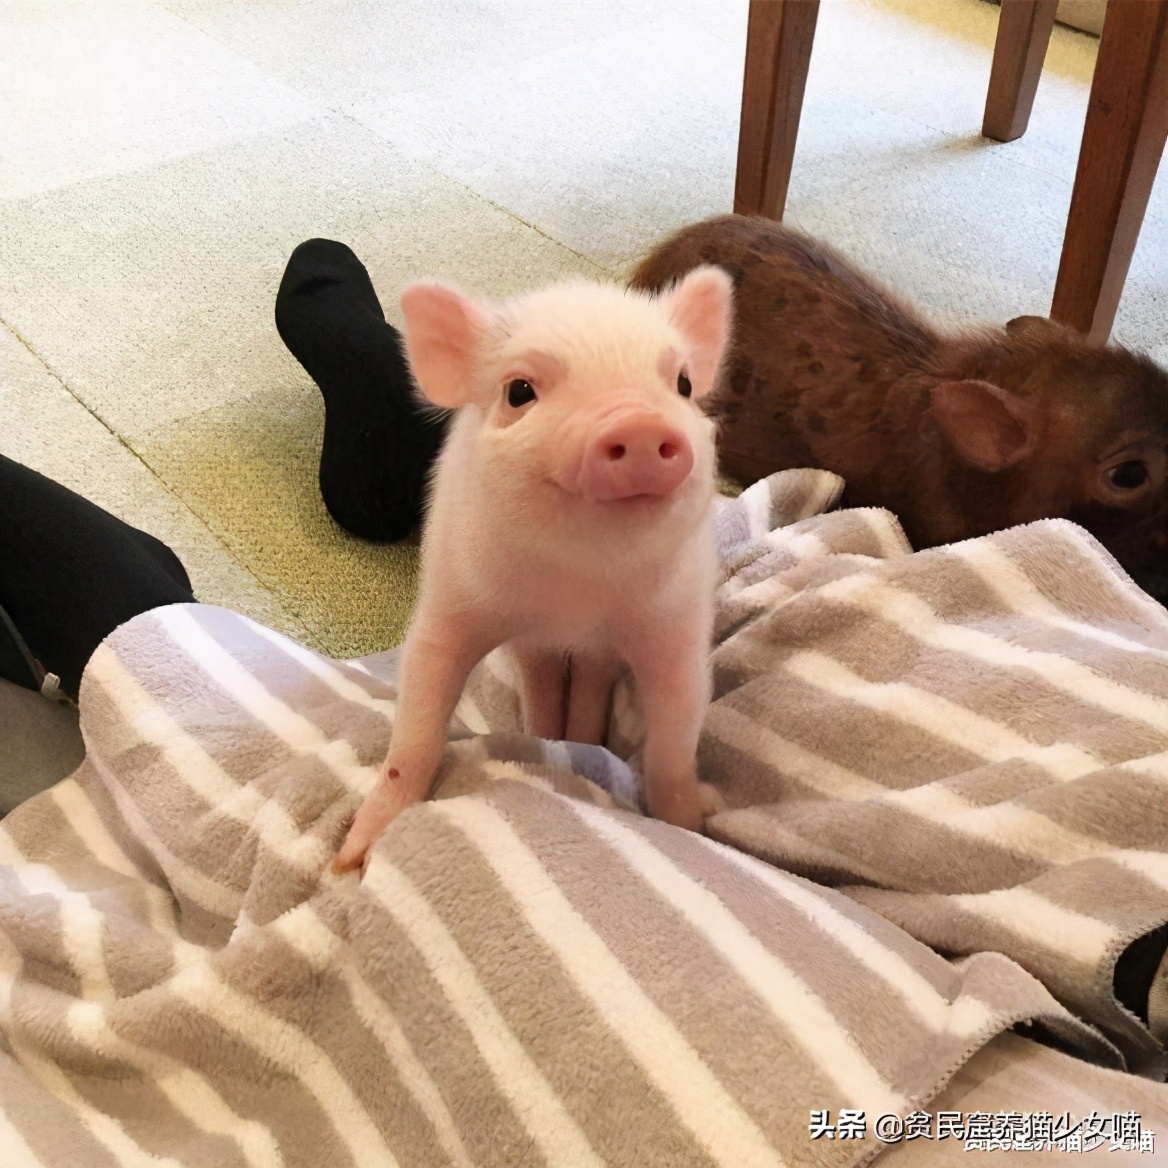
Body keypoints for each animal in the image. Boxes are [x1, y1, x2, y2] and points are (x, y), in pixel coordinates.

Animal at [334, 266, 733, 873]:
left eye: (683, 384)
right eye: (519, 391)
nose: (639, 422)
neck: (576, 592)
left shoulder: (675, 629)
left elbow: (674, 743)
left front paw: (694, 829)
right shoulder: (451, 600)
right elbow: (417, 726)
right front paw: (349, 858)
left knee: (589, 674)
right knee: (540, 670)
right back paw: (548, 736)